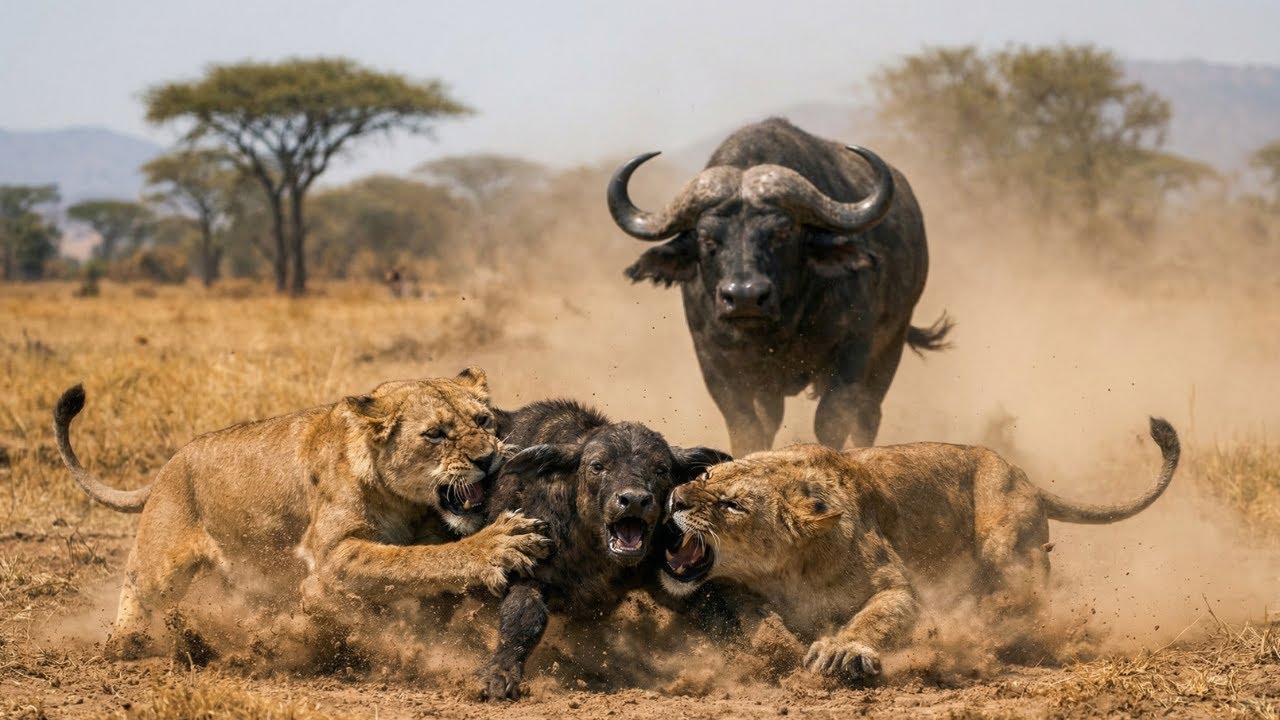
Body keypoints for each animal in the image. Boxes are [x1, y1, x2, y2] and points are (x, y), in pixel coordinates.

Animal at [608, 117, 952, 455]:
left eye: (782, 233)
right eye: (706, 238)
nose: (744, 297)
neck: (777, 329)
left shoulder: (854, 351)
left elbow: (832, 419)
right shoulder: (715, 364)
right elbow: (747, 426)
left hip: (891, 345)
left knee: (868, 415)